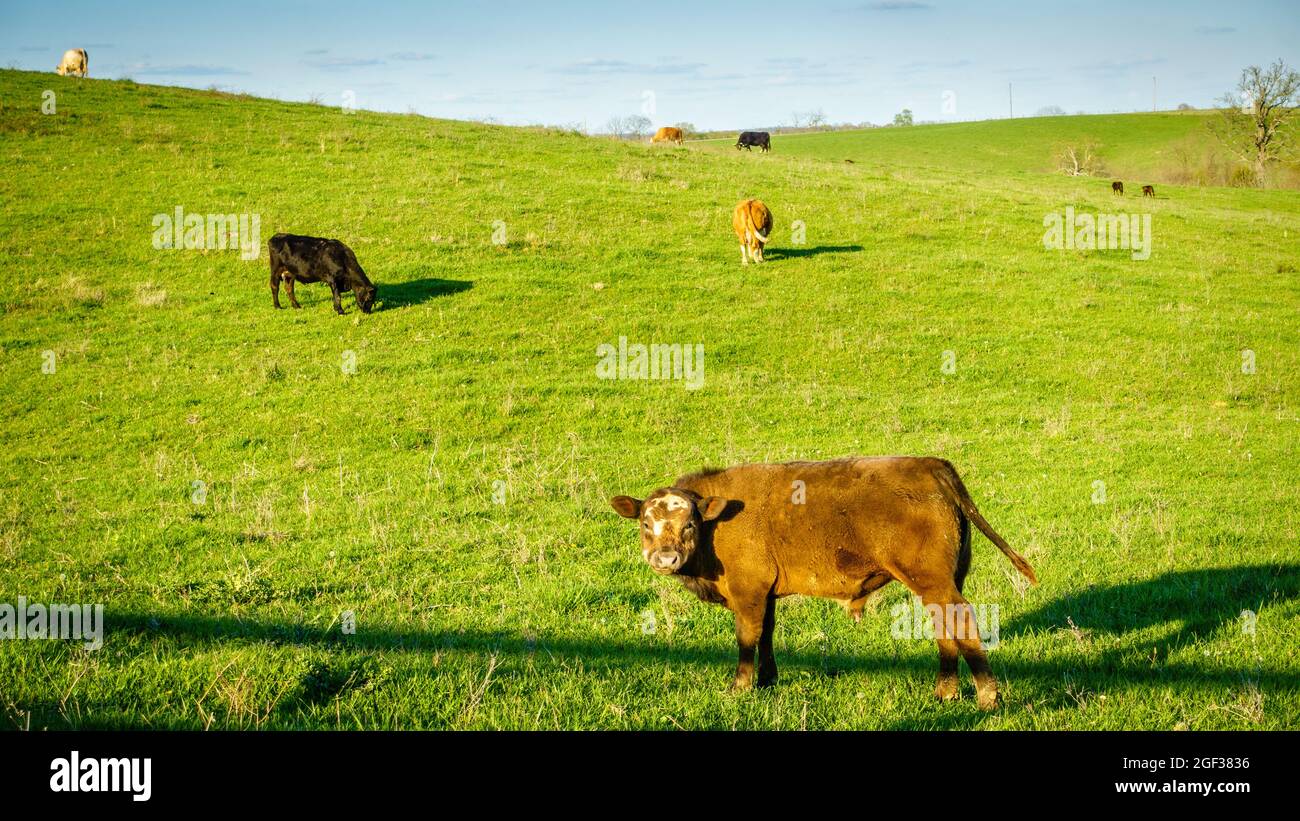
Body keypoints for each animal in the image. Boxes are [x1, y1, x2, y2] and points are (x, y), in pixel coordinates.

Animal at [610, 457, 1039, 709]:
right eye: (646, 524)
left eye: (689, 524)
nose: (666, 558)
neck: (718, 523)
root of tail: (929, 464)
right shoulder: (767, 594)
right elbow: (766, 634)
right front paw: (767, 679)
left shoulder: (748, 591)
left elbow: (747, 638)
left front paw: (740, 686)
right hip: (940, 584)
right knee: (944, 628)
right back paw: (945, 691)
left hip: (934, 583)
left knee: (962, 622)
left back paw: (987, 696)